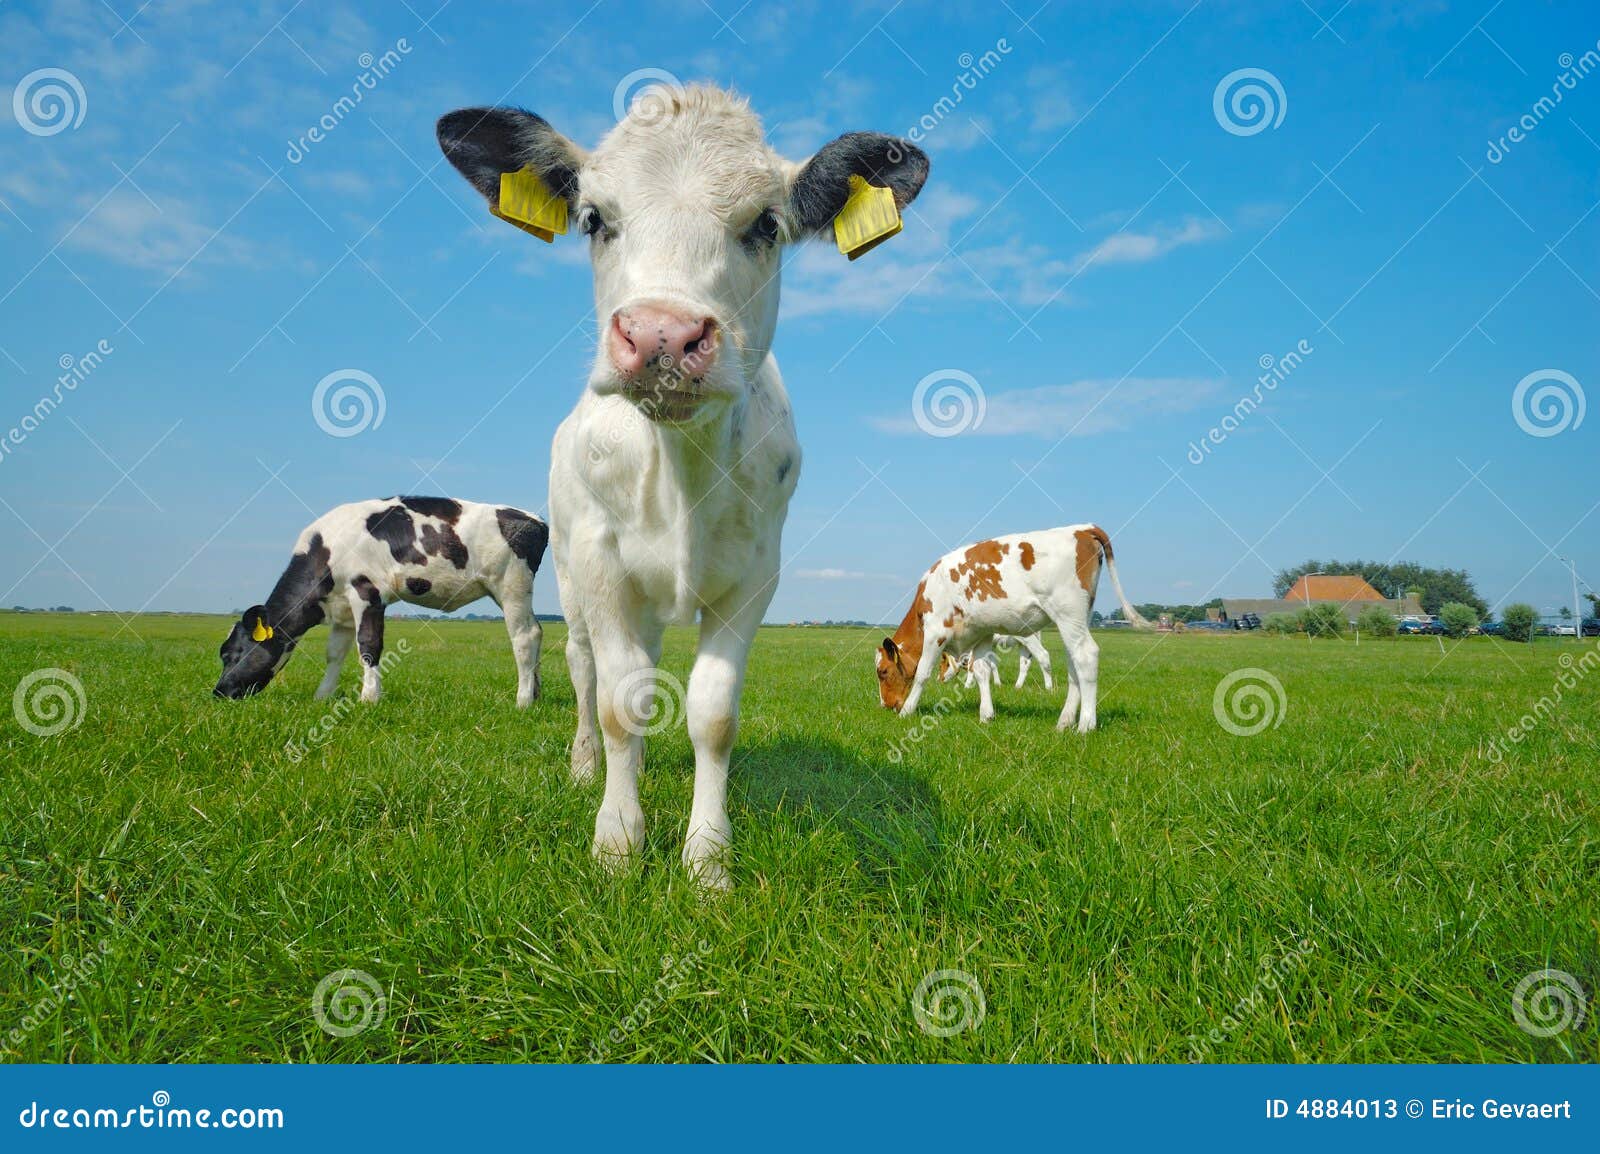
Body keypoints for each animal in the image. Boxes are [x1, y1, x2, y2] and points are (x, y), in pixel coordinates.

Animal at [214, 497, 547, 706]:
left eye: (231, 654)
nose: (219, 692)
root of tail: (533, 518)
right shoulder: (341, 610)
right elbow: (334, 653)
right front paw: (322, 696)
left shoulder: (367, 592)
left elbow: (369, 644)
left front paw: (369, 698)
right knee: (537, 631)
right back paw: (535, 694)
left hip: (511, 585)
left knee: (524, 637)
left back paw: (521, 701)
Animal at [437, 86, 928, 888]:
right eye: (594, 218)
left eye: (766, 224)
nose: (661, 336)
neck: (681, 470)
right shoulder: (603, 567)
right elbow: (617, 703)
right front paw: (616, 841)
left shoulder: (756, 575)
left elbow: (712, 713)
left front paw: (707, 859)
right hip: (569, 577)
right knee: (584, 671)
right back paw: (587, 766)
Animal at [876, 525, 1150, 732]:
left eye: (883, 672)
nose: (885, 705)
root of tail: (1082, 528)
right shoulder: (982, 632)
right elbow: (981, 671)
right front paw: (986, 714)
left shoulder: (936, 631)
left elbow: (923, 672)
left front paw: (908, 710)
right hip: (1075, 619)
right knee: (1073, 665)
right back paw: (1064, 721)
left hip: (1067, 613)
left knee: (1086, 656)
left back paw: (1085, 725)